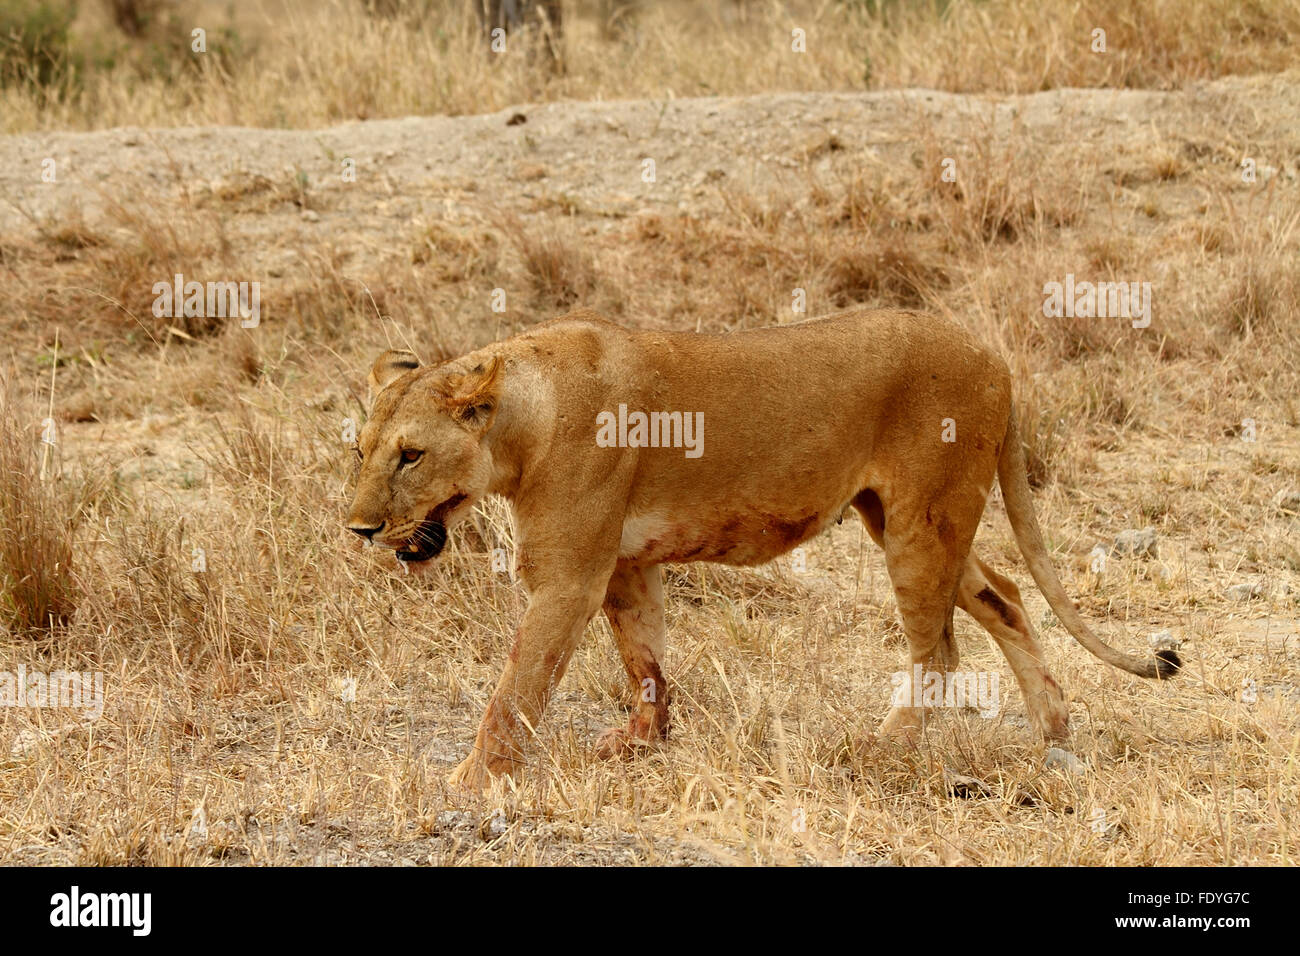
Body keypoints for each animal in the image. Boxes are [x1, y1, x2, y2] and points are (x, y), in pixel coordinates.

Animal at [345, 308, 1180, 791]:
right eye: (360, 450)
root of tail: (991, 352)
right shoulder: (625, 563)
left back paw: (878, 748)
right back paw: (1054, 727)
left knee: (938, 648)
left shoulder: (570, 575)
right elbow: (644, 658)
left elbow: (515, 688)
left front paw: (469, 780)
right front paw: (643, 743)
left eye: (411, 455)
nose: (358, 529)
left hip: (923, 520)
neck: (523, 419)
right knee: (1004, 596)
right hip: (910, 518)